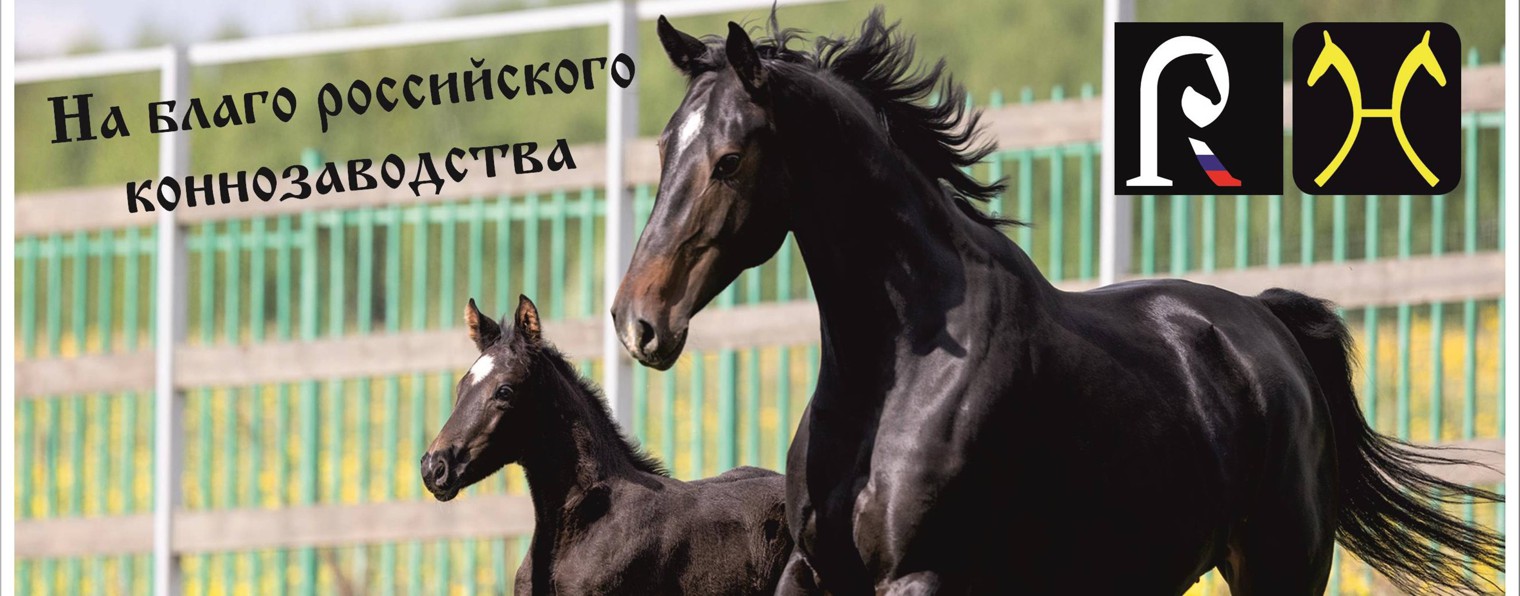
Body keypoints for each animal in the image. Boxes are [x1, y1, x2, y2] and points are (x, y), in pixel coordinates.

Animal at [610, 9, 1503, 595]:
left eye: (729, 160)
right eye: (663, 147)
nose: (636, 321)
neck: (895, 377)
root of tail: (1269, 329)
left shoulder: (922, 575)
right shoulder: (814, 570)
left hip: (1279, 567)